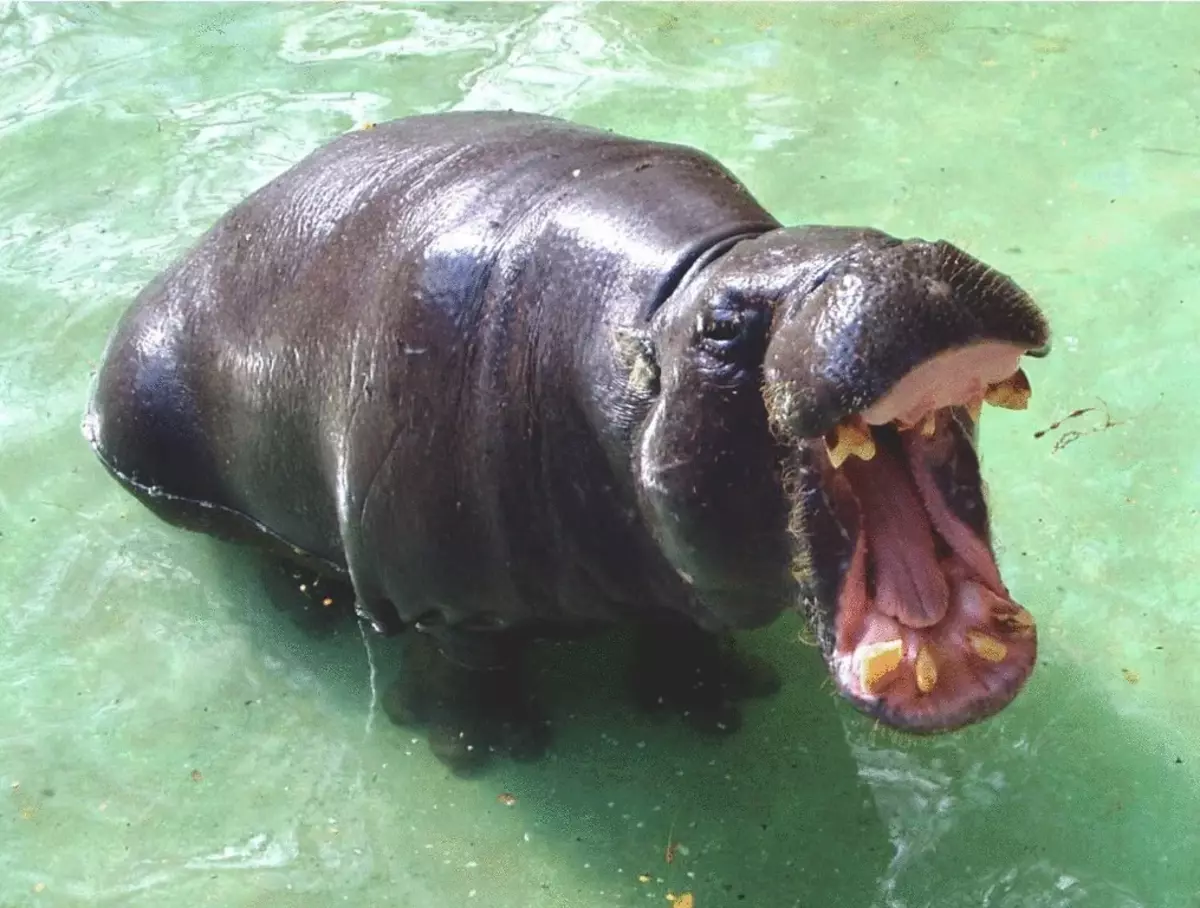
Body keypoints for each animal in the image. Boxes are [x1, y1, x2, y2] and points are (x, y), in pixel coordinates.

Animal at [82, 109, 1051, 767]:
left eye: (880, 230)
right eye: (725, 328)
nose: (901, 261)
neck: (664, 300)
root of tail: (174, 266)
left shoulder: (672, 575)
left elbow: (684, 628)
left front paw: (716, 701)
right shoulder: (448, 597)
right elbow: (473, 665)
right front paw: (487, 749)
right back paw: (306, 610)